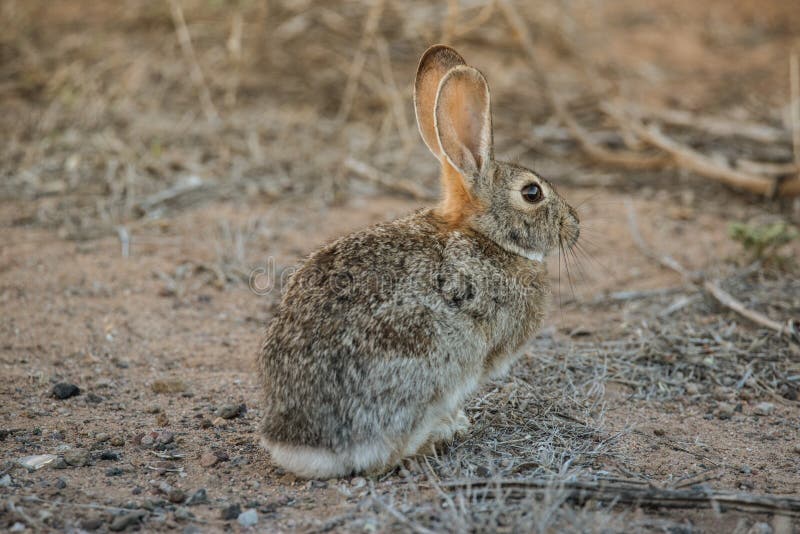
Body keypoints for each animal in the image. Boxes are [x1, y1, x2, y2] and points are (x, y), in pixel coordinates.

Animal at [258, 44, 580, 479]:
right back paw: (438, 436)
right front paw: (458, 423)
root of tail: (301, 447)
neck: (485, 236)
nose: (574, 225)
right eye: (532, 193)